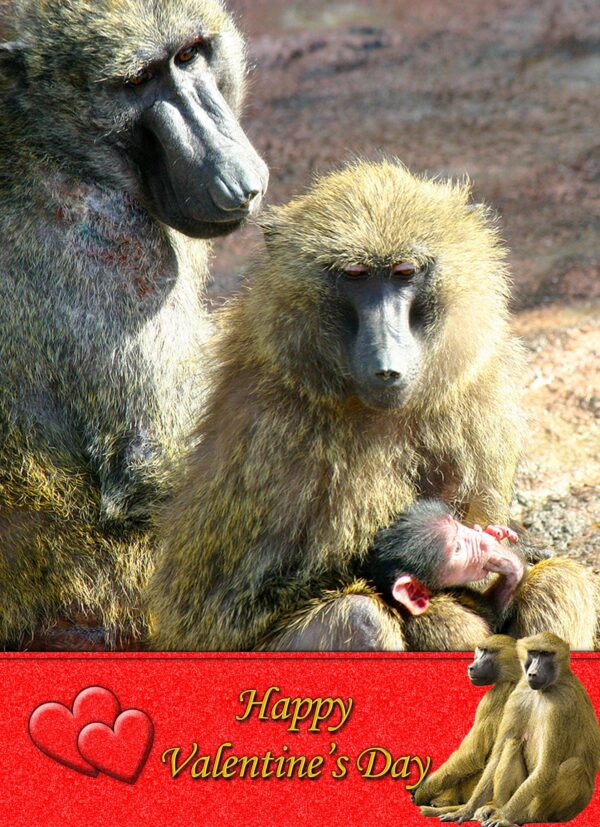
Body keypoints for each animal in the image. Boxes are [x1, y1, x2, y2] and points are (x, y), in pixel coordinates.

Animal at [148, 160, 598, 652]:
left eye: (404, 272)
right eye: (355, 275)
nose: (386, 365)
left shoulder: (478, 398)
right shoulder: (273, 431)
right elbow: (223, 607)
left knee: (560, 580)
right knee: (357, 614)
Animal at [415, 635, 522, 813]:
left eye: (487, 652)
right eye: (479, 651)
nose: (471, 667)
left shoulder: (494, 696)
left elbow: (473, 753)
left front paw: (421, 791)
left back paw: (442, 802)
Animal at [436, 632, 600, 825]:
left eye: (546, 654)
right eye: (533, 653)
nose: (533, 673)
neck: (543, 691)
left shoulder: (561, 706)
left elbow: (546, 768)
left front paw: (503, 817)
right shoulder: (518, 696)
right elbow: (496, 755)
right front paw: (466, 810)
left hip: (561, 808)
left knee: (574, 766)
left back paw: (523, 817)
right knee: (512, 742)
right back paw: (496, 807)